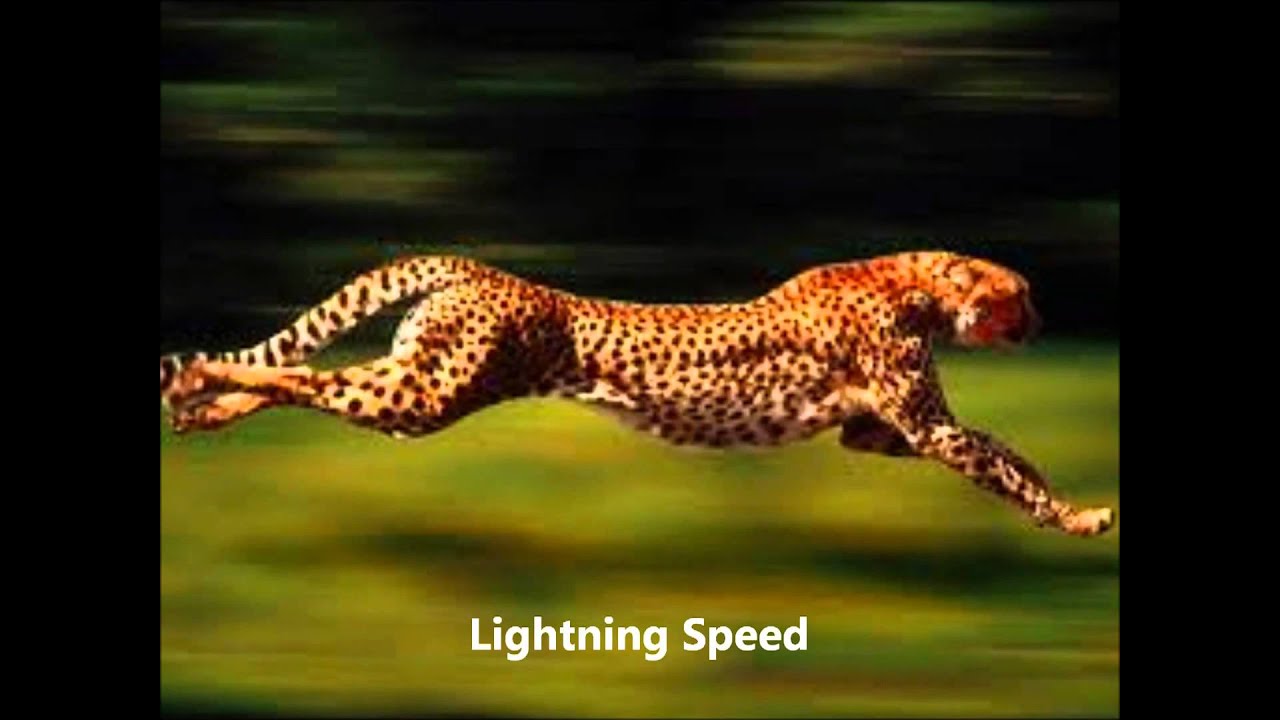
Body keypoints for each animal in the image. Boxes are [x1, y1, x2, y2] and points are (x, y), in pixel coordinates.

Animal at [159, 250, 1116, 537]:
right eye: (1022, 292)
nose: (1042, 318)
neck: (915, 284)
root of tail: (477, 267)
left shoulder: (877, 433)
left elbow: (1003, 449)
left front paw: (1076, 512)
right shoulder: (926, 429)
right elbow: (1006, 463)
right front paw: (1079, 517)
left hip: (414, 385)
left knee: (308, 380)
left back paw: (204, 405)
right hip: (428, 396)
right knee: (302, 375)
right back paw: (199, 381)